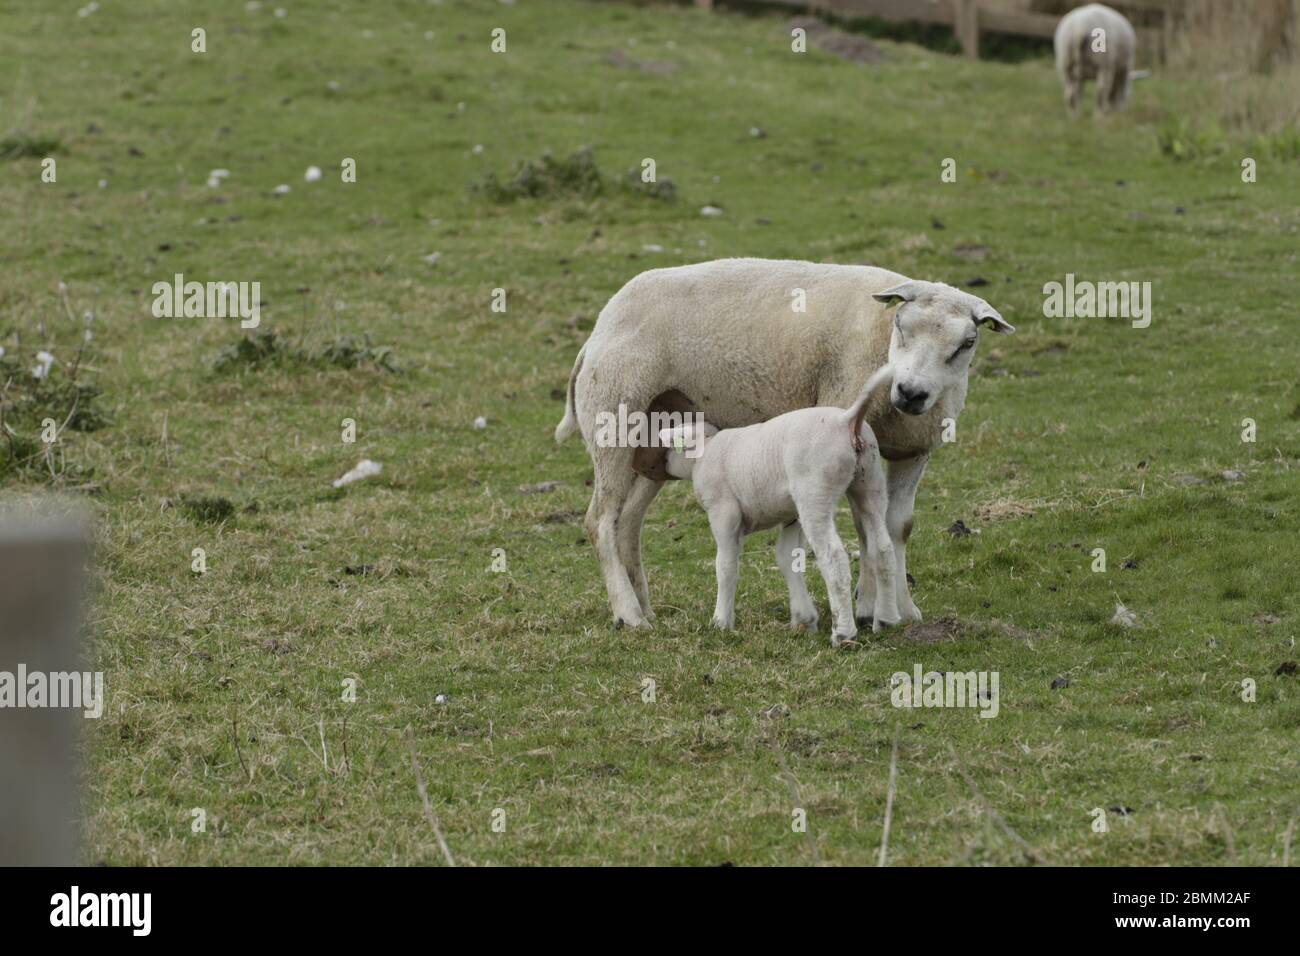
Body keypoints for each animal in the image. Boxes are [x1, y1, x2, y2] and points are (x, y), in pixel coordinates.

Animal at [659, 364, 899, 647]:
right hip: (869, 483)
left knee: (834, 558)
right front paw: (803, 618)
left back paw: (844, 633)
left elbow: (726, 565)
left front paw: (721, 621)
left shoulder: (723, 512)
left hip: (814, 493)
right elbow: (787, 558)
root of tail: (846, 420)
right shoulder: (791, 515)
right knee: (883, 548)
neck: (704, 453)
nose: (664, 461)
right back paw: (887, 619)